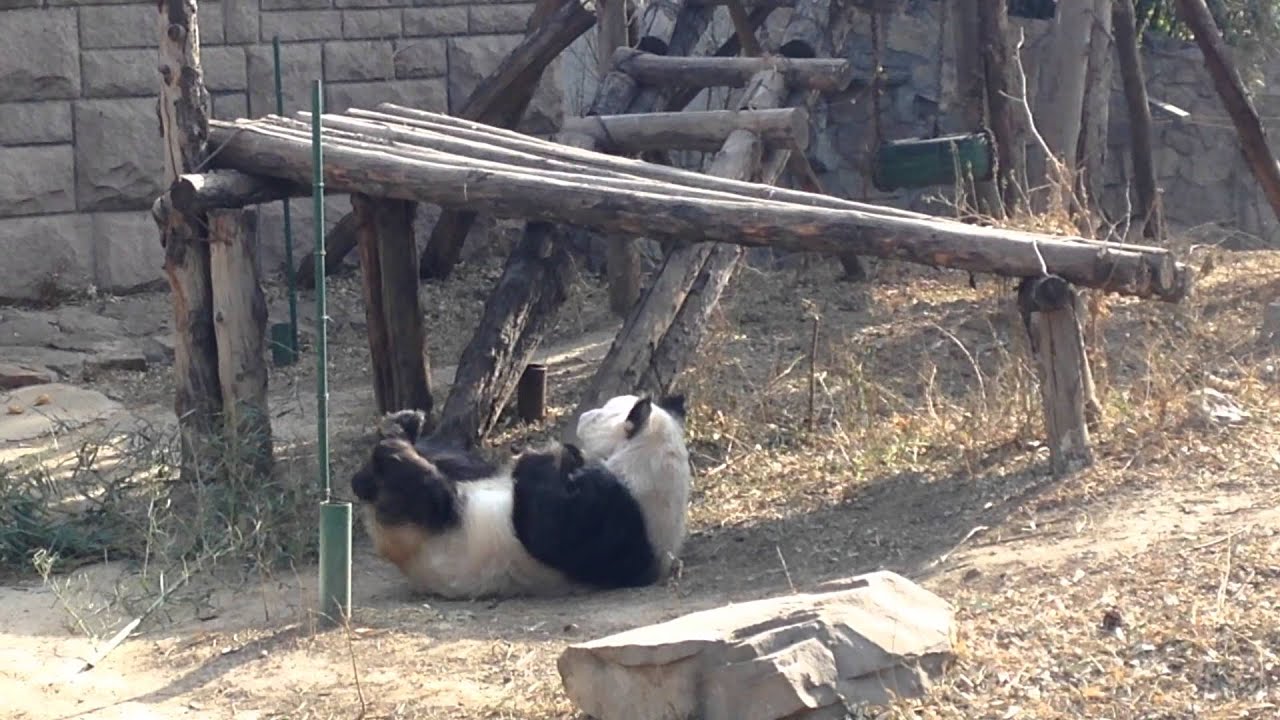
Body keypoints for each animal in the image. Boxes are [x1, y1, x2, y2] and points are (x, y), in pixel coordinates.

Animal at [349, 394, 692, 600]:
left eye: (600, 414)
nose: (584, 416)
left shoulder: (622, 520)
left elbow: (548, 532)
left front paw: (546, 457)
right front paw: (564, 454)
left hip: (431, 530)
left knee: (427, 493)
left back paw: (393, 451)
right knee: (455, 461)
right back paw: (404, 425)